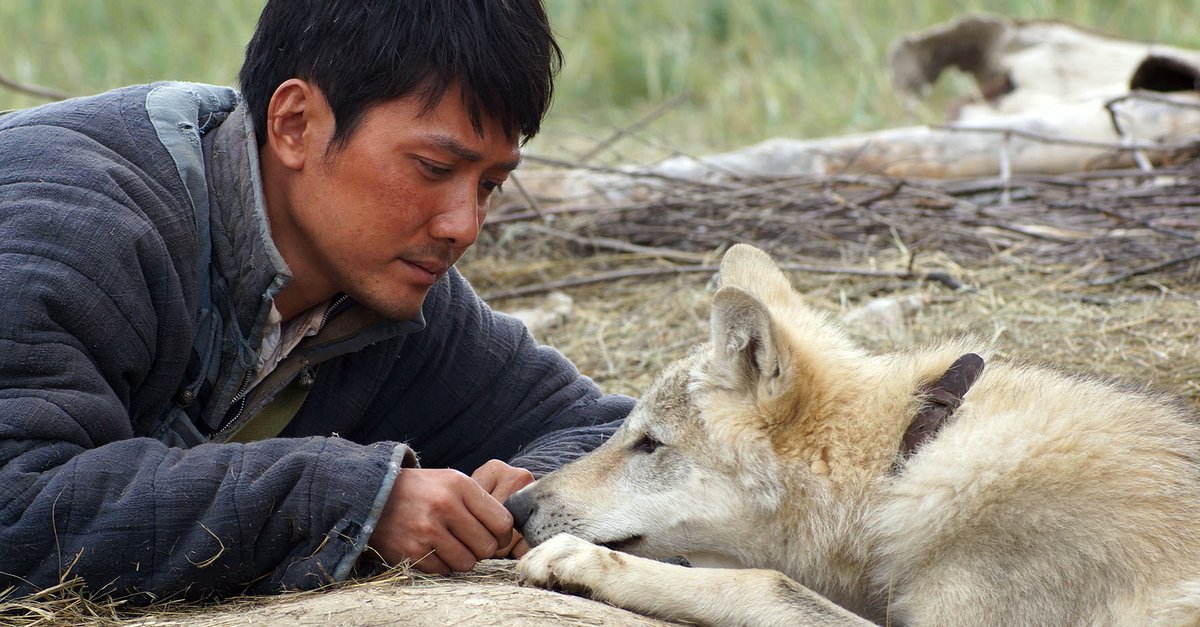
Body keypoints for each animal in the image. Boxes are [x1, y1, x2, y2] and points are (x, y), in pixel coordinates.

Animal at [506, 243, 1200, 626]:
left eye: (649, 444)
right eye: (626, 433)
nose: (514, 505)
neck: (906, 460)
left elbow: (762, 582)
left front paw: (579, 561)